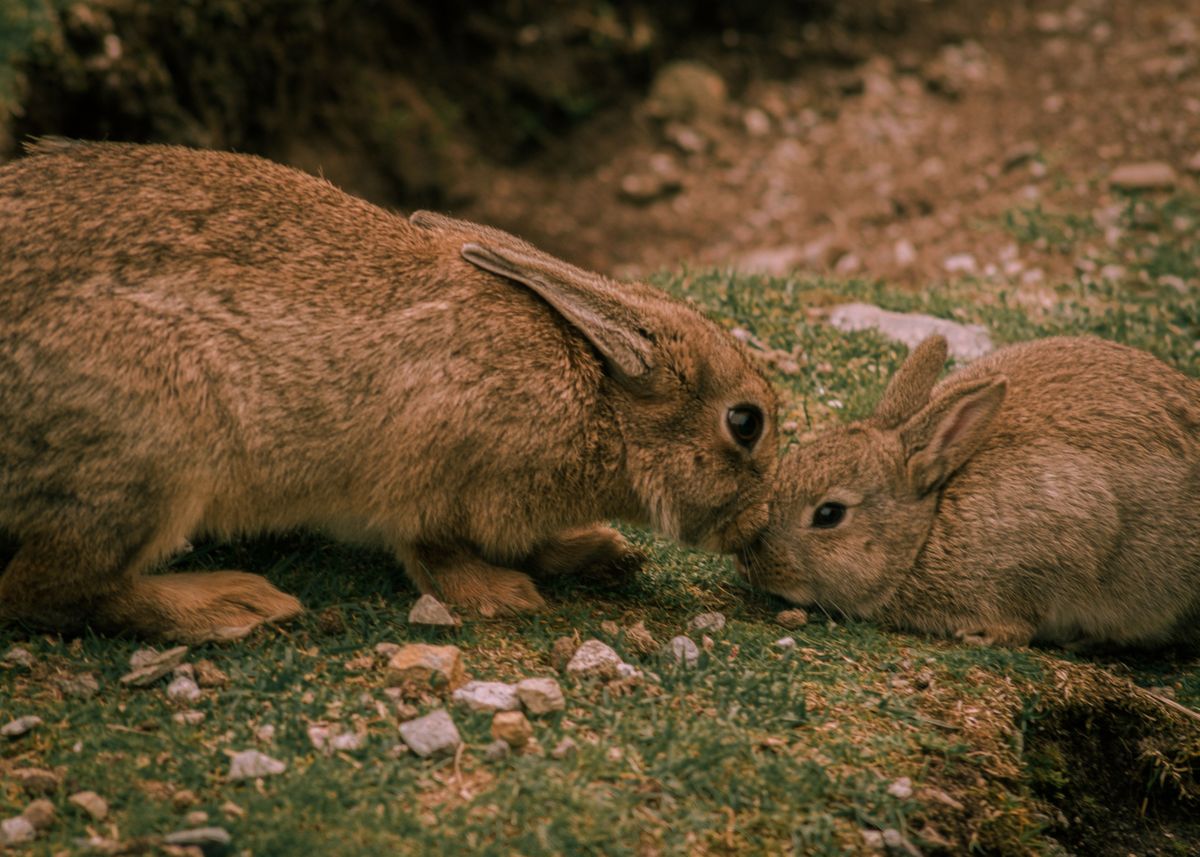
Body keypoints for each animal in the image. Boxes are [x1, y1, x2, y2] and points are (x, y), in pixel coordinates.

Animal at [0, 140, 778, 643]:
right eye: (746, 422)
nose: (760, 526)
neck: (602, 405)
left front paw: (603, 552)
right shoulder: (434, 468)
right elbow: (434, 549)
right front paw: (503, 596)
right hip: (152, 453)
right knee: (46, 588)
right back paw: (233, 606)